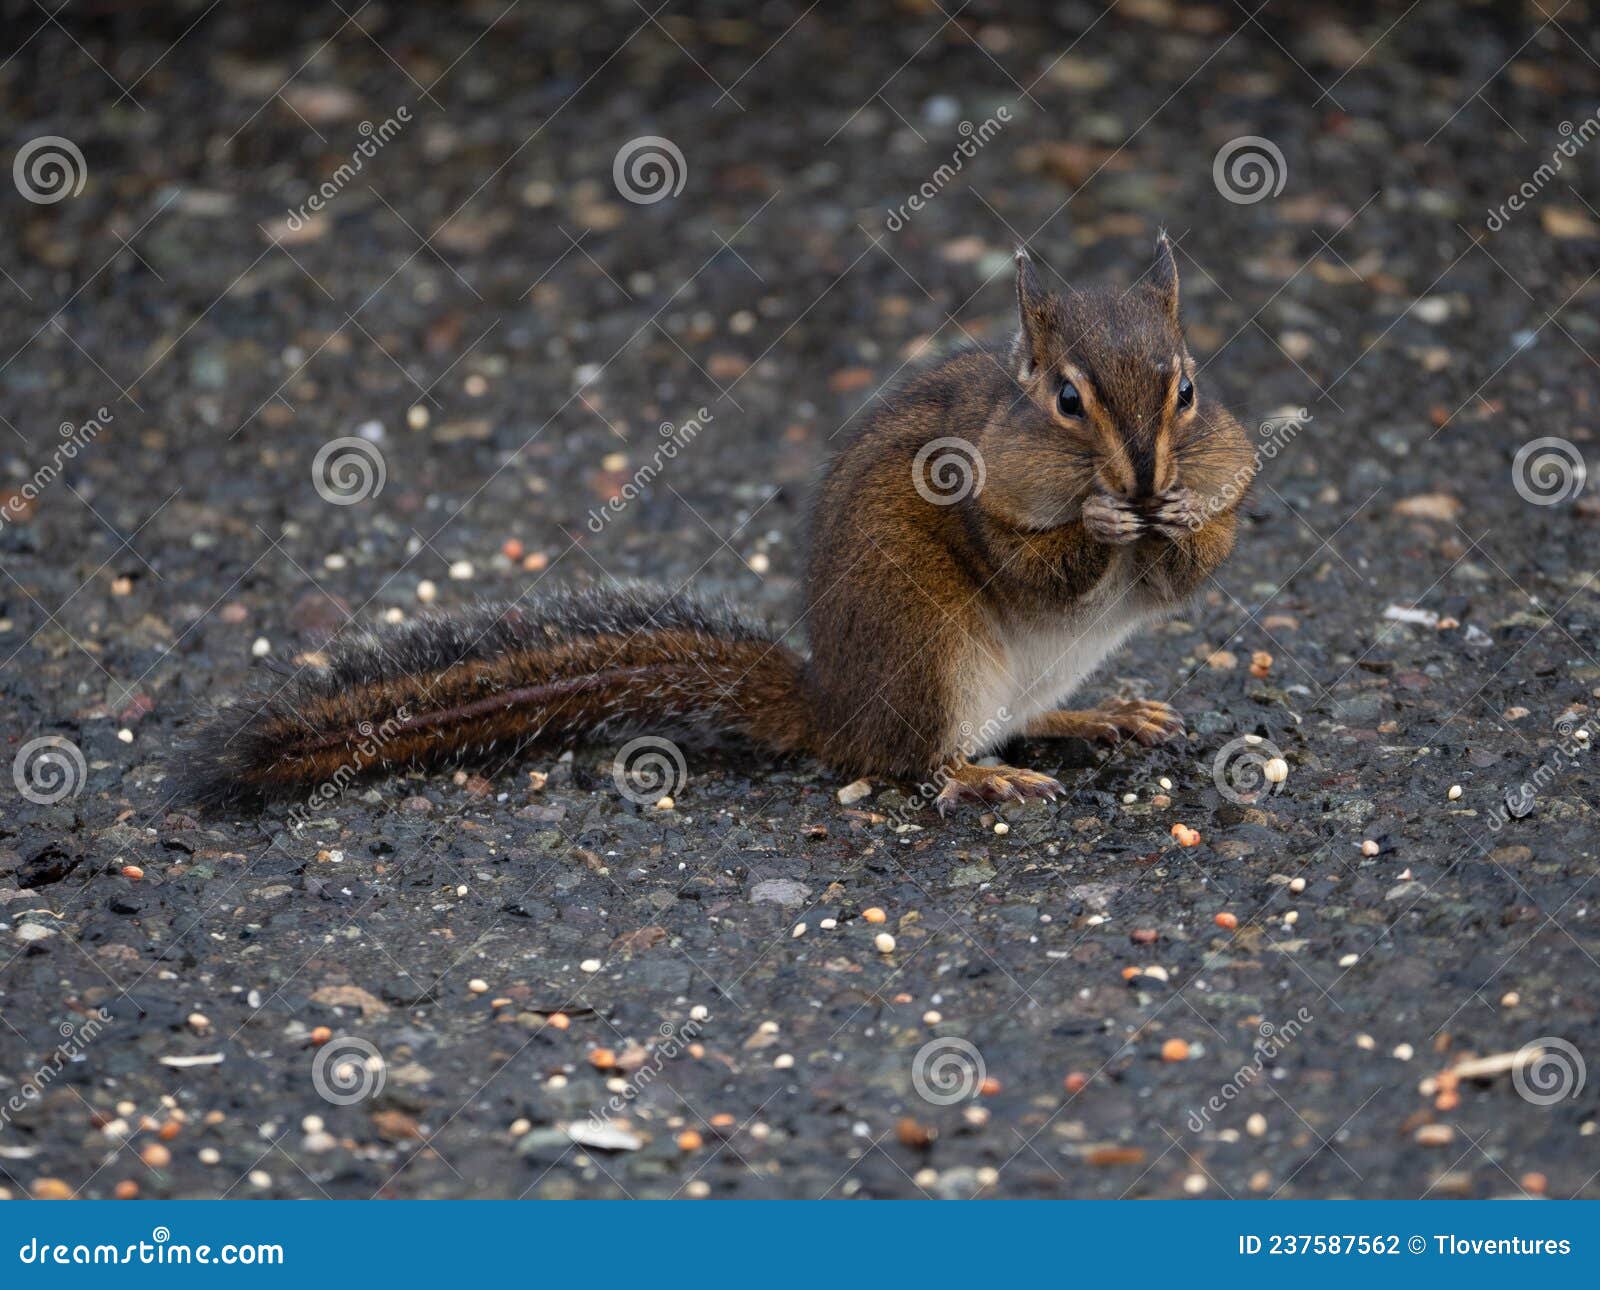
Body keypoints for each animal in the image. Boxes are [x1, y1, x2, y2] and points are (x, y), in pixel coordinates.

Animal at [180, 233, 1255, 815]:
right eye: (1067, 401)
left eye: (1189, 389)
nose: (1146, 477)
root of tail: (836, 709)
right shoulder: (980, 497)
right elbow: (1037, 567)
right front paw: (1105, 518)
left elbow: (1198, 565)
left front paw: (1180, 518)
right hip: (930, 653)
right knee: (919, 762)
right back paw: (980, 778)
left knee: (1022, 722)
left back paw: (1101, 714)